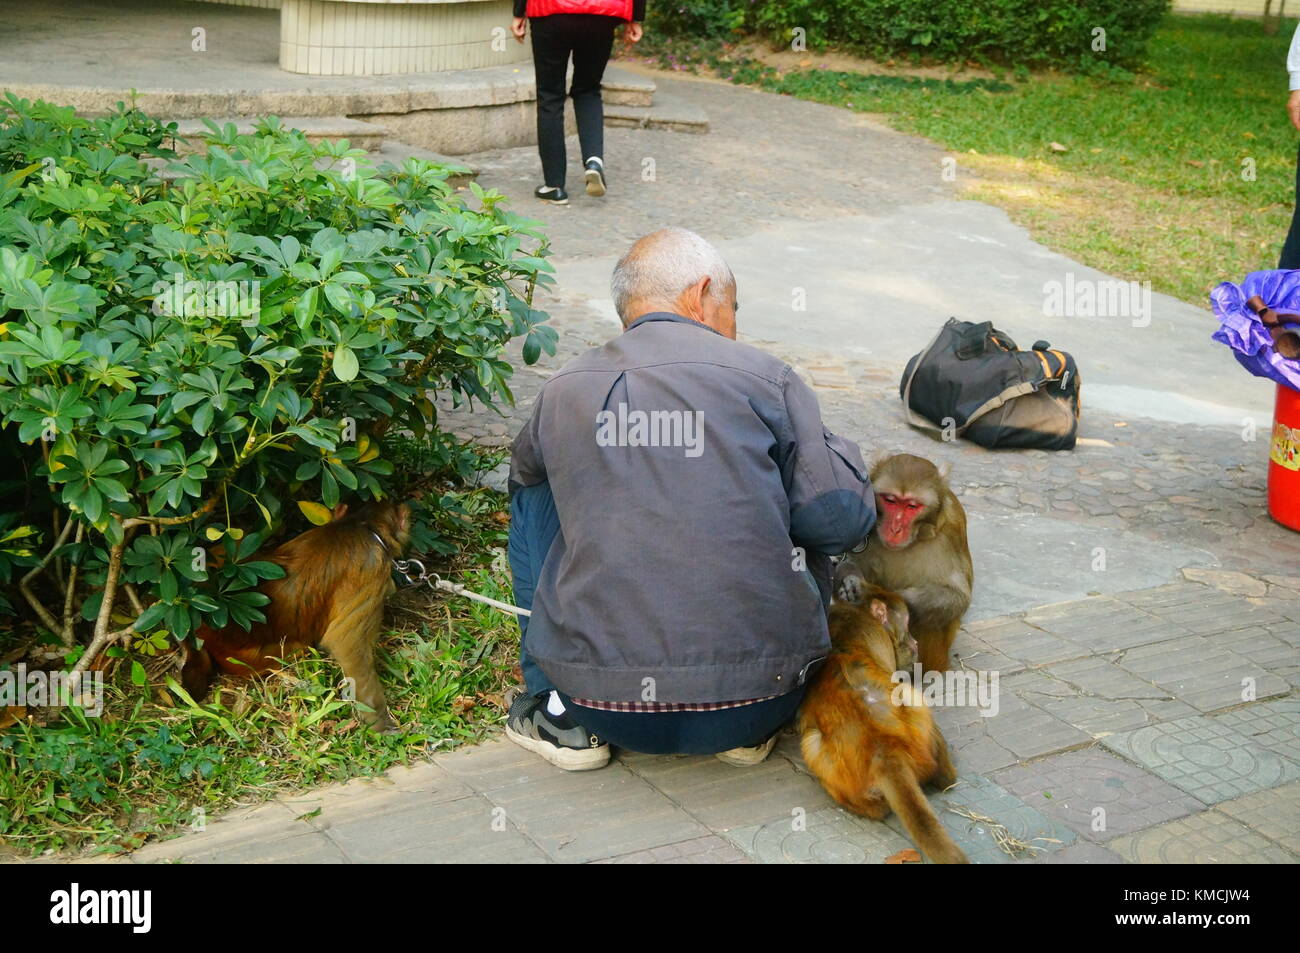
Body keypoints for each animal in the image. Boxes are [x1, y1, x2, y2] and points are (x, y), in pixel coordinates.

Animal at [843, 453, 972, 674]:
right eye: (891, 500)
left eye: (912, 506)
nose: (895, 529)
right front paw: (850, 580)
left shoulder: (951, 533)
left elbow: (957, 596)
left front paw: (888, 595)